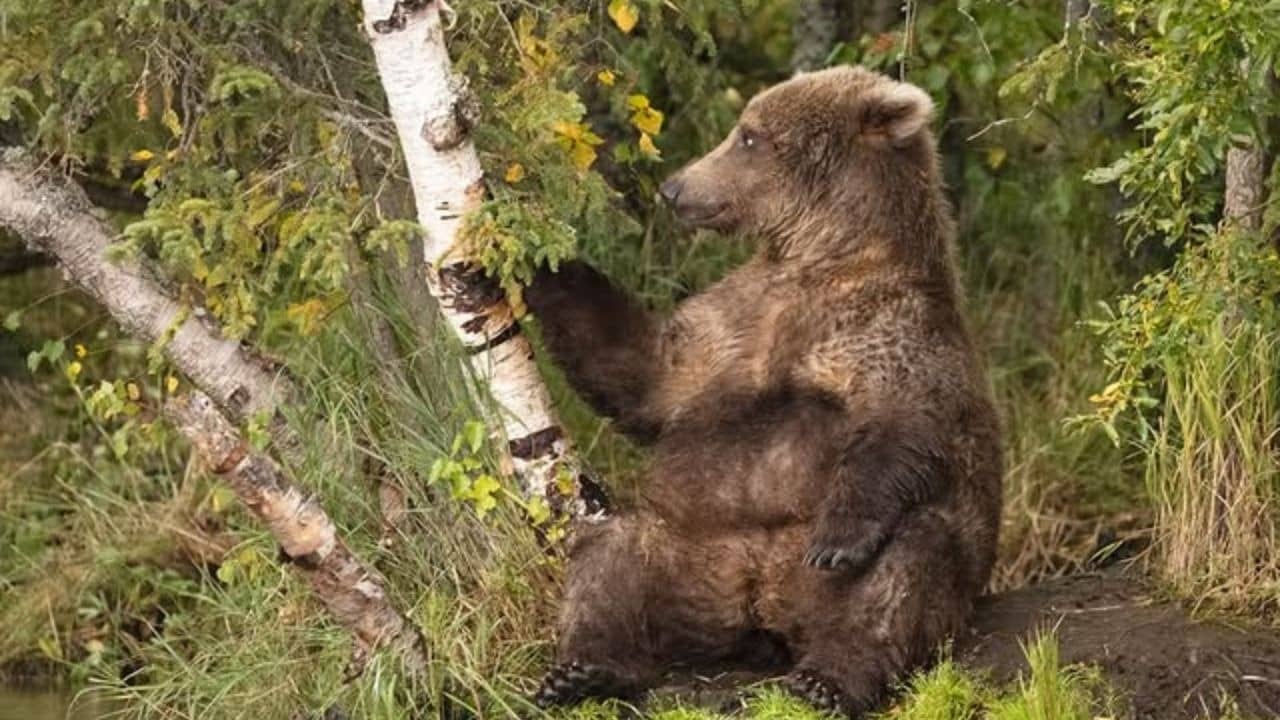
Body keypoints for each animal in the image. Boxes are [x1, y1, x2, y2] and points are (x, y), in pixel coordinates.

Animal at [524, 66, 1003, 717]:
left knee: (905, 571)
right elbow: (648, 372)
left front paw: (837, 540)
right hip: (689, 552)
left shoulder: (896, 337)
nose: (674, 187)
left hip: (846, 573)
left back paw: (826, 679)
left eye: (749, 136)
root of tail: (760, 603)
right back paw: (583, 670)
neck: (828, 258)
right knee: (611, 554)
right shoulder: (736, 320)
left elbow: (902, 429)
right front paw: (532, 261)